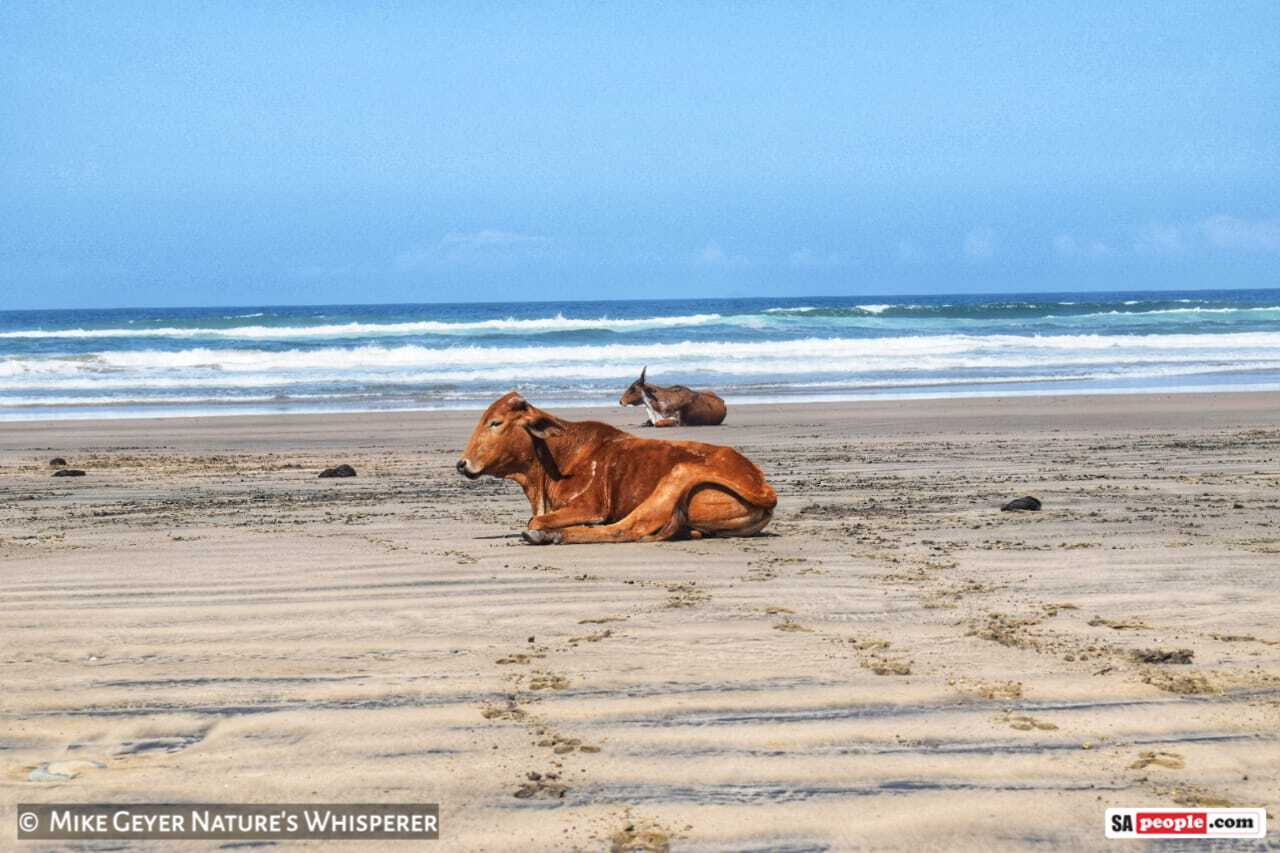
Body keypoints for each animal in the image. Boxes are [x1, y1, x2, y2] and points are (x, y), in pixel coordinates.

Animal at [456, 392, 775, 544]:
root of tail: (764, 488)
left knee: (626, 529)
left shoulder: (590, 505)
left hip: (676, 476)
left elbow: (536, 521)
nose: (462, 464)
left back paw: (553, 536)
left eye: (496, 422)